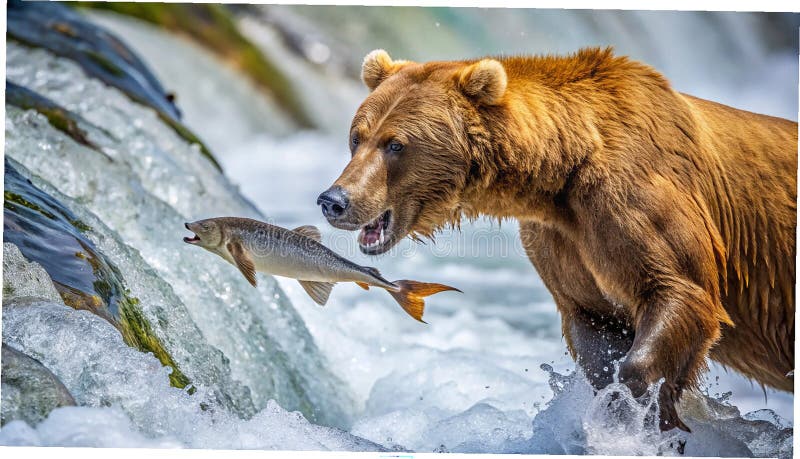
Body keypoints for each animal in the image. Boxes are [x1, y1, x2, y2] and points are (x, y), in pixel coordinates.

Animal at [316, 47, 797, 431]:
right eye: (356, 137)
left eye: (395, 144)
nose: (333, 200)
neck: (559, 176)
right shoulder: (564, 245)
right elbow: (593, 327)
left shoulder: (633, 199)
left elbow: (679, 291)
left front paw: (642, 409)